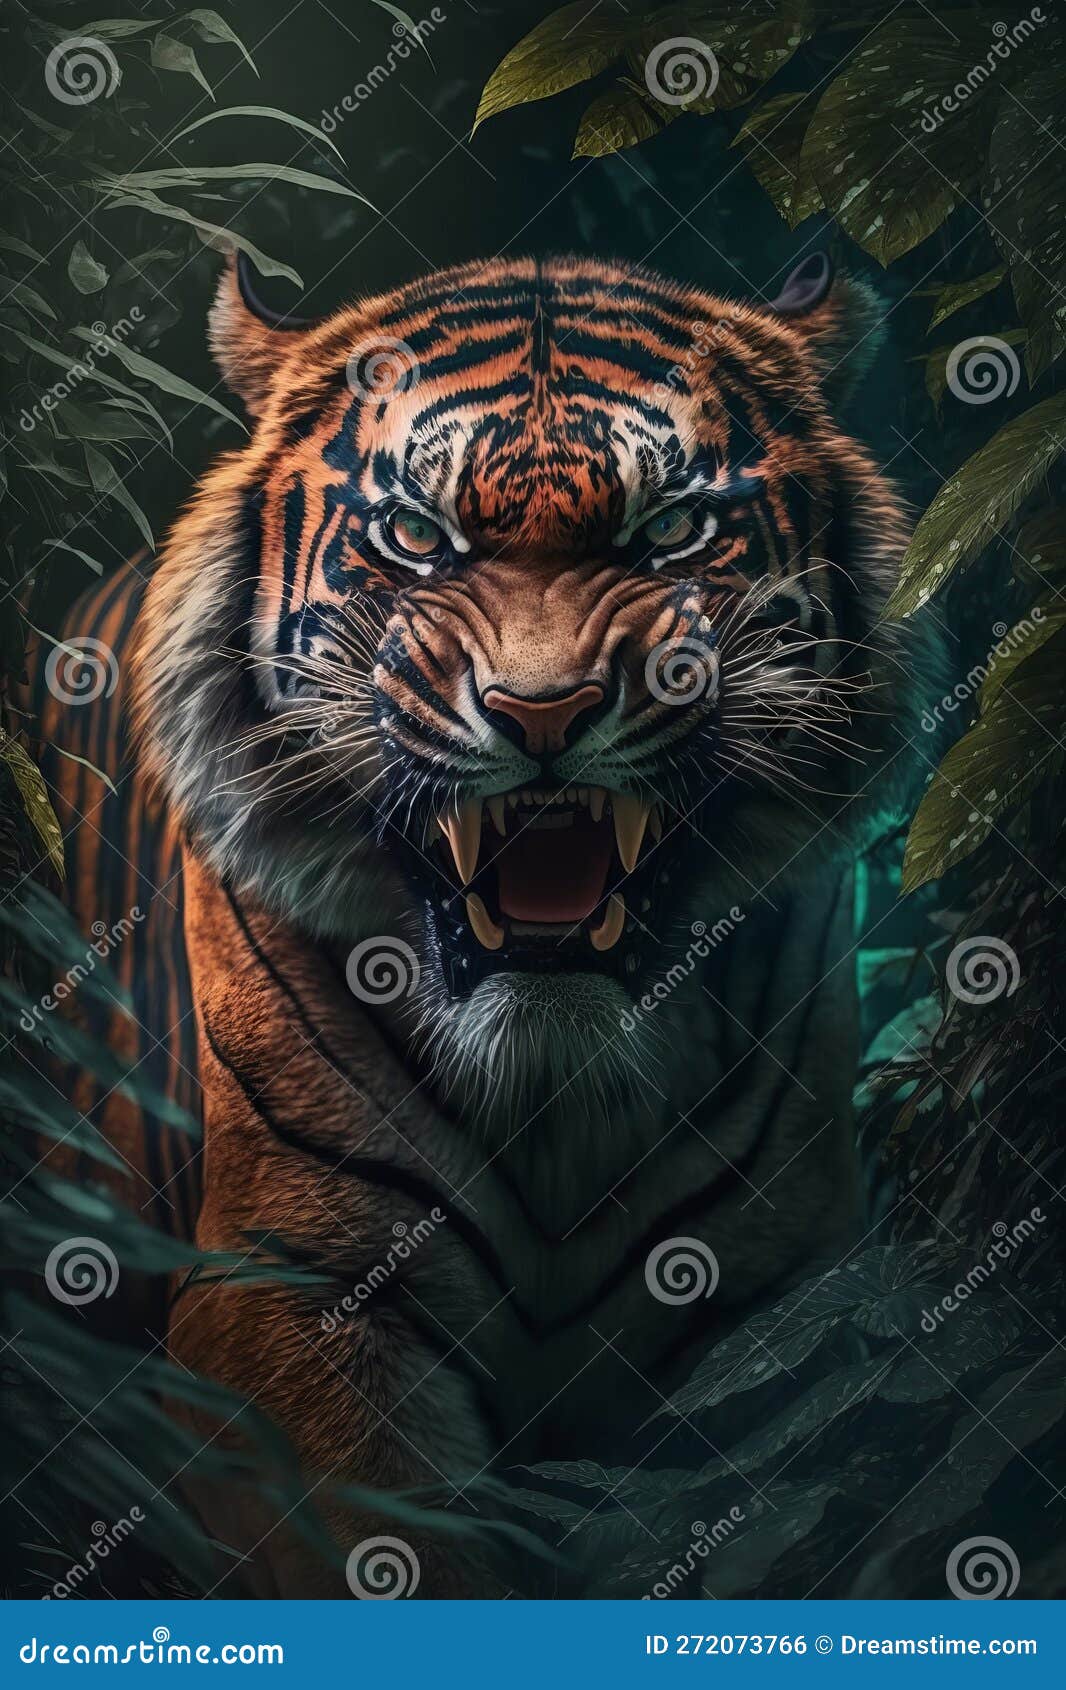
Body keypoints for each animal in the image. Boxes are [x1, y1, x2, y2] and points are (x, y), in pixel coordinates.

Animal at [31, 248, 932, 1597]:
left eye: (668, 533)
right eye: (416, 536)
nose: (542, 711)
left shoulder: (792, 1277)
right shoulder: (281, 1286)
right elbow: (389, 1543)